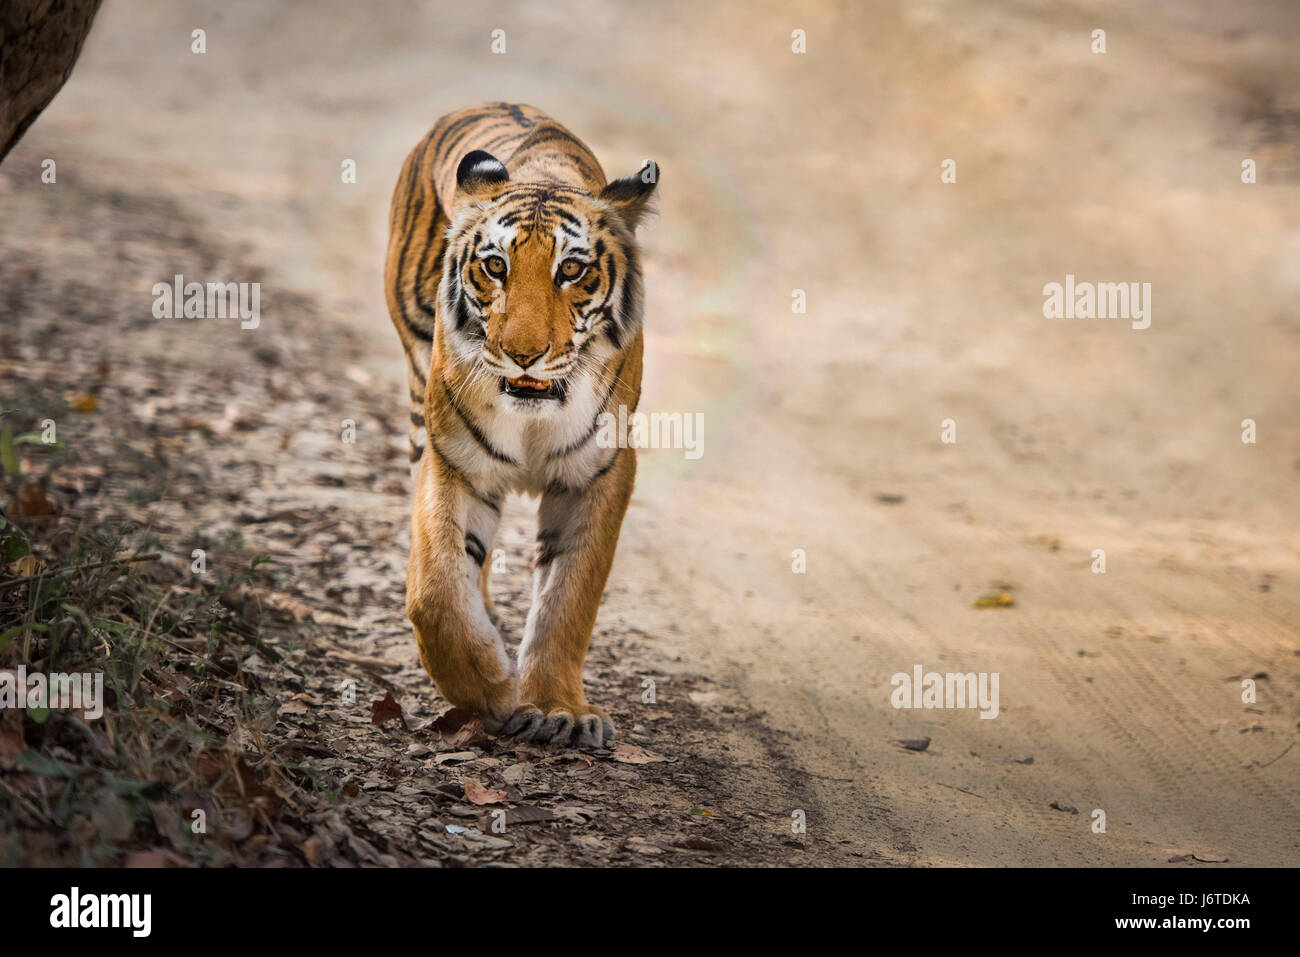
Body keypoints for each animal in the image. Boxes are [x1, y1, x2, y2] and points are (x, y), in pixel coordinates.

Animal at [383, 102, 658, 748]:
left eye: (572, 270)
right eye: (494, 266)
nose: (523, 354)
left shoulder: (599, 472)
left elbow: (569, 597)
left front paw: (558, 710)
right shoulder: (453, 459)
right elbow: (435, 589)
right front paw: (490, 685)